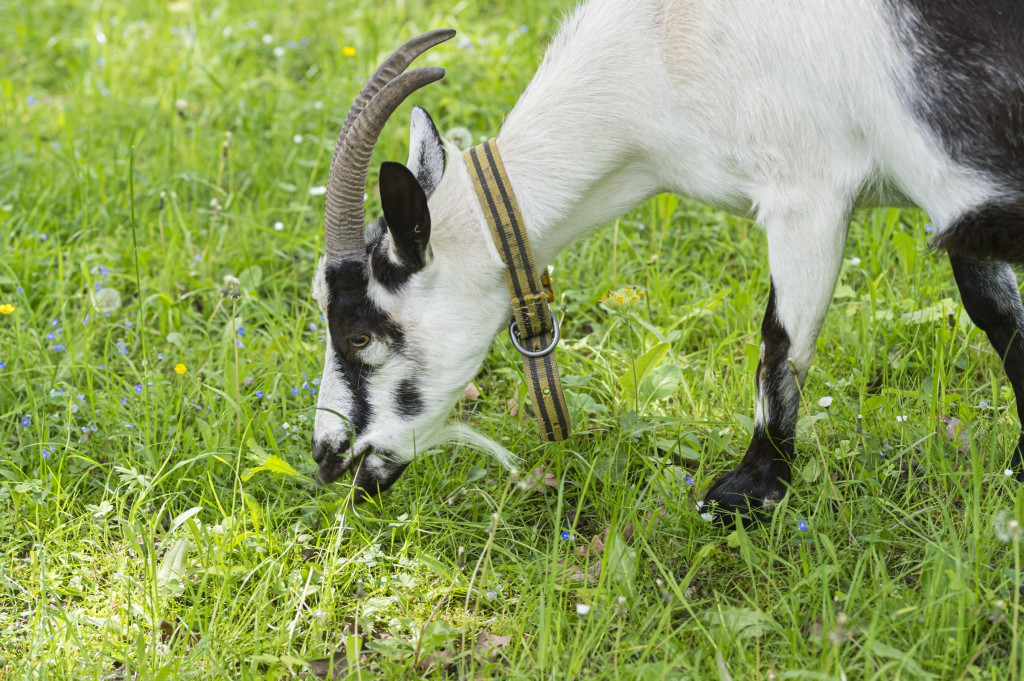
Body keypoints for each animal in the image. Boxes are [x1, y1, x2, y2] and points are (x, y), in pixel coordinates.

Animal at [309, 0, 1024, 517]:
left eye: (358, 333)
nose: (326, 456)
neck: (661, 48)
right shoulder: (948, 197)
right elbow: (997, 312)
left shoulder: (807, 192)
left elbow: (779, 343)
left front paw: (750, 490)